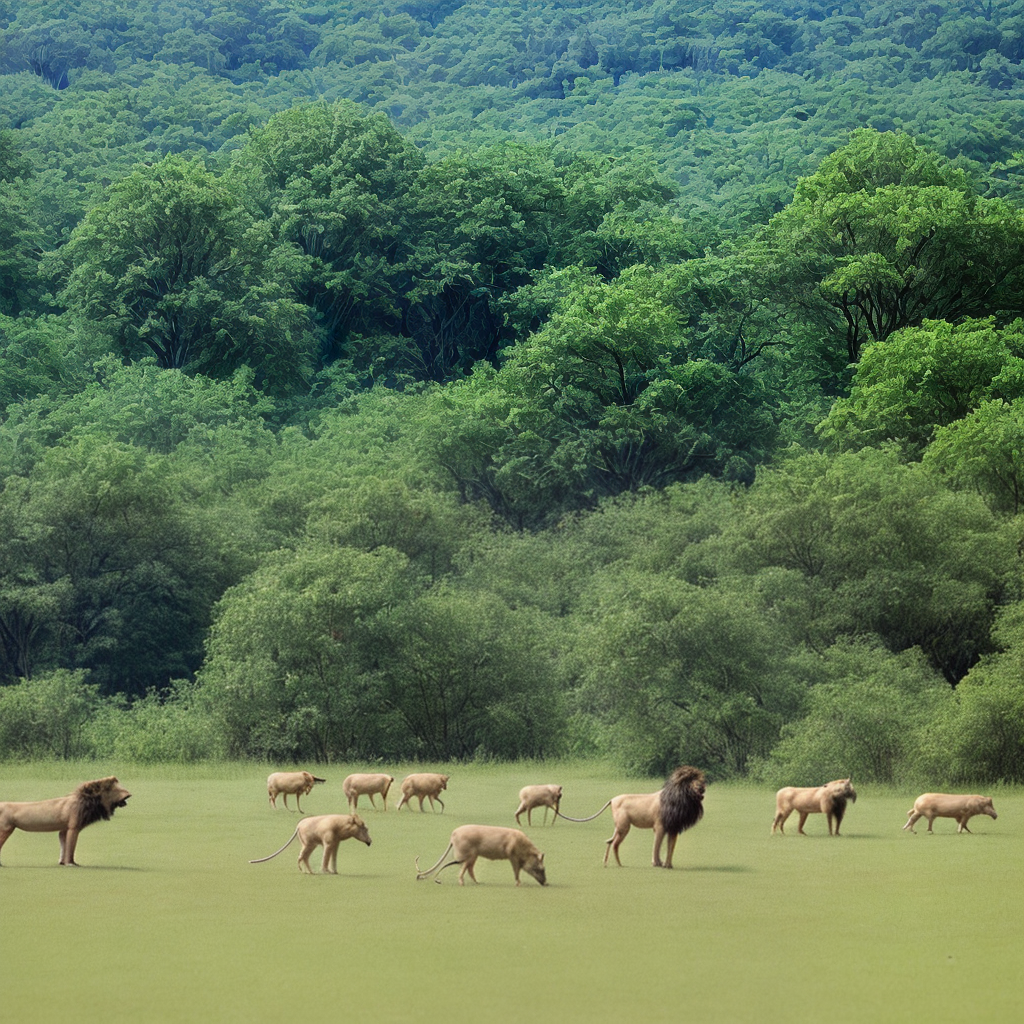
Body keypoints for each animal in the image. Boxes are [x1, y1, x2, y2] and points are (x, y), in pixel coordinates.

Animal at [0, 776, 131, 866]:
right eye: (111, 787)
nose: (129, 794)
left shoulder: (64, 828)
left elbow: (64, 845)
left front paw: (62, 862)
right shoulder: (74, 826)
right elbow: (71, 847)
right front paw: (70, 863)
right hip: (6, 828)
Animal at [415, 825, 547, 886]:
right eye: (541, 869)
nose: (546, 883)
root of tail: (452, 836)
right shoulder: (512, 856)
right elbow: (516, 870)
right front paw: (518, 884)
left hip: (474, 856)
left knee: (469, 868)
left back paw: (478, 883)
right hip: (467, 855)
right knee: (464, 868)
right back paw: (462, 883)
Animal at [558, 766, 706, 868]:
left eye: (701, 780)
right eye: (691, 779)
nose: (702, 787)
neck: (680, 801)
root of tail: (612, 800)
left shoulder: (673, 828)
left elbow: (670, 847)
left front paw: (668, 865)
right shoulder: (659, 826)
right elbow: (656, 845)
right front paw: (656, 863)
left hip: (618, 827)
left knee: (610, 842)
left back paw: (606, 863)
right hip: (624, 826)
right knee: (615, 844)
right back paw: (620, 865)